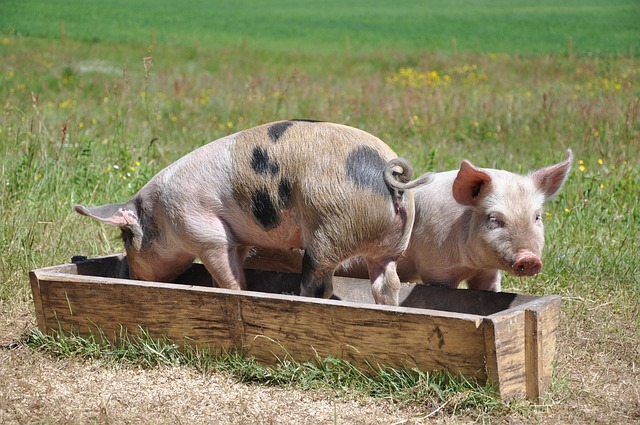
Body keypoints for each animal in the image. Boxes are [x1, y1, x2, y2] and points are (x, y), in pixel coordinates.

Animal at [75, 120, 433, 305]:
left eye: (126, 237)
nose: (132, 275)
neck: (161, 216)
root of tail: (391, 174)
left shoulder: (205, 233)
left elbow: (228, 276)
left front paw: (236, 293)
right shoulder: (240, 238)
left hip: (329, 230)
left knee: (319, 284)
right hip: (390, 248)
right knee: (387, 283)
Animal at [335, 149, 573, 291]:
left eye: (537, 216)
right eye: (494, 218)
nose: (529, 258)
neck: (469, 265)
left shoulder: (487, 272)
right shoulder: (435, 269)